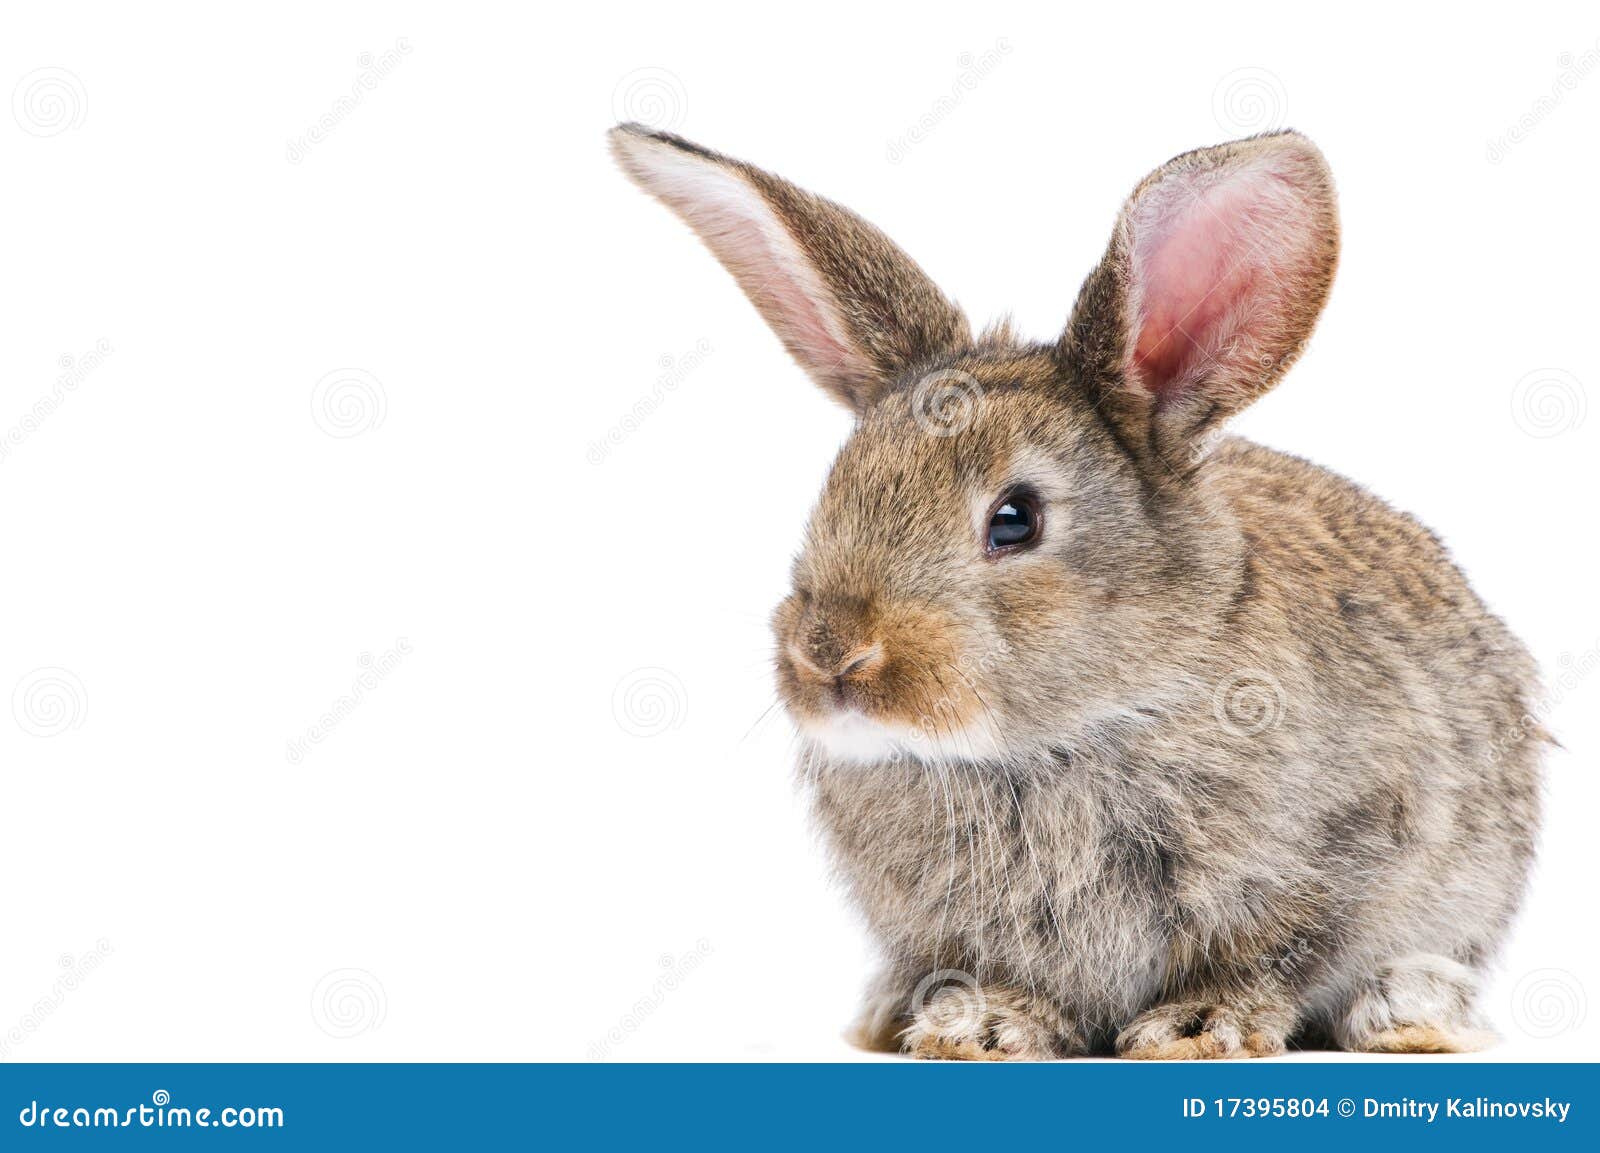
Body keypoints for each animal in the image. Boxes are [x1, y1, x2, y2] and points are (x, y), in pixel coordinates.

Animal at [610, 122, 1546, 1059]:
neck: (1071, 731)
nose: (830, 655)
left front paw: (1193, 1027)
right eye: (835, 487)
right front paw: (979, 1023)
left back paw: (1409, 1011)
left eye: (1015, 519)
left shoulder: (1343, 853)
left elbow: (1271, 956)